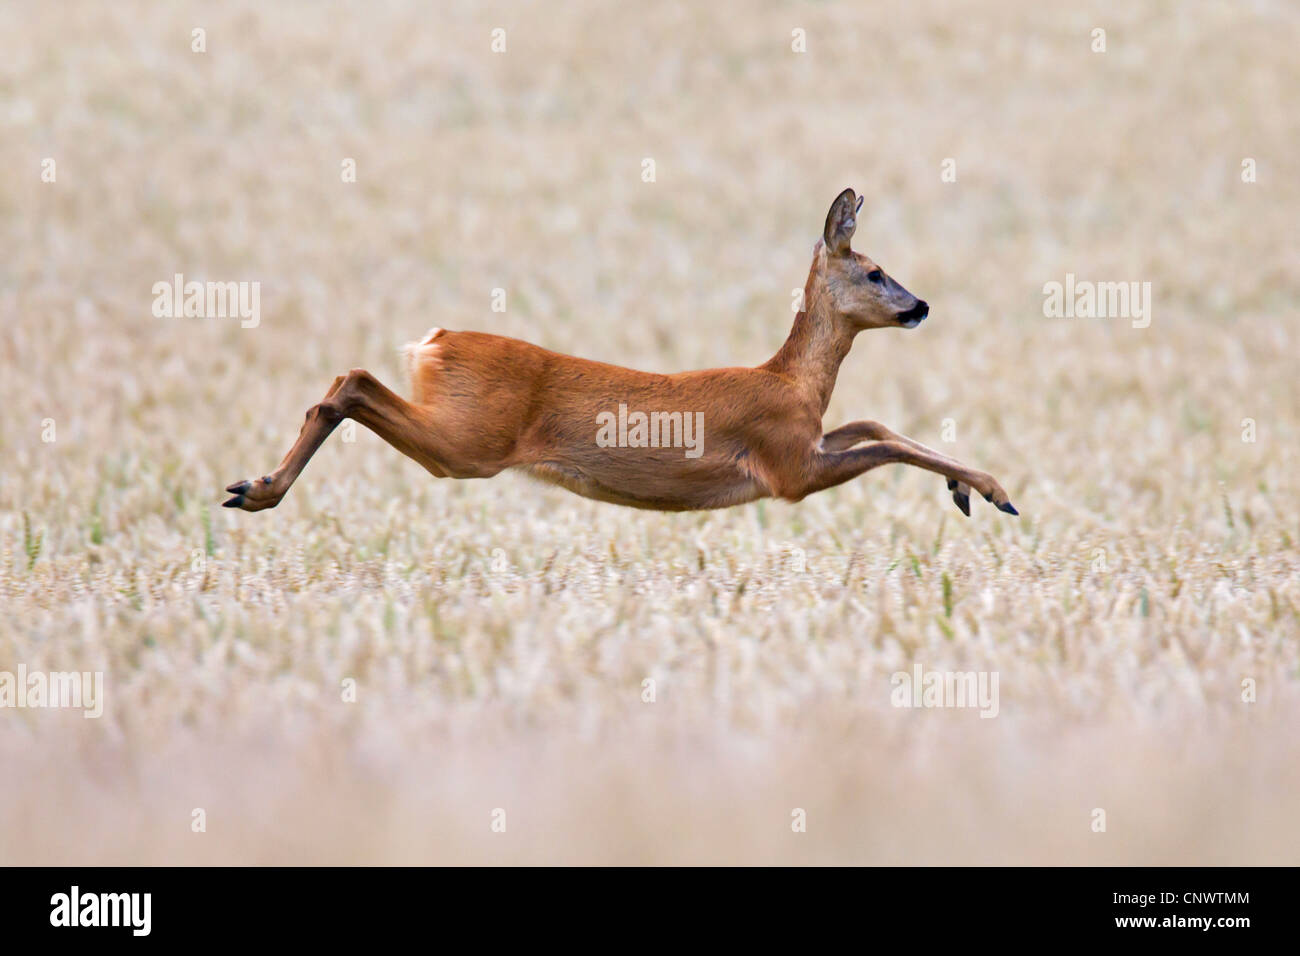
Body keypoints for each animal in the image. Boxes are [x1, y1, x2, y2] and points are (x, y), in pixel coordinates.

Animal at [224, 188, 1018, 518]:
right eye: (876, 270)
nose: (919, 306)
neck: (792, 383)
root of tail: (435, 342)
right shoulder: (787, 469)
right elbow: (885, 444)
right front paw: (995, 492)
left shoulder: (805, 443)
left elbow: (877, 426)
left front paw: (967, 489)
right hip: (469, 439)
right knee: (353, 380)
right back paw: (257, 490)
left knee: (347, 379)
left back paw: (250, 488)